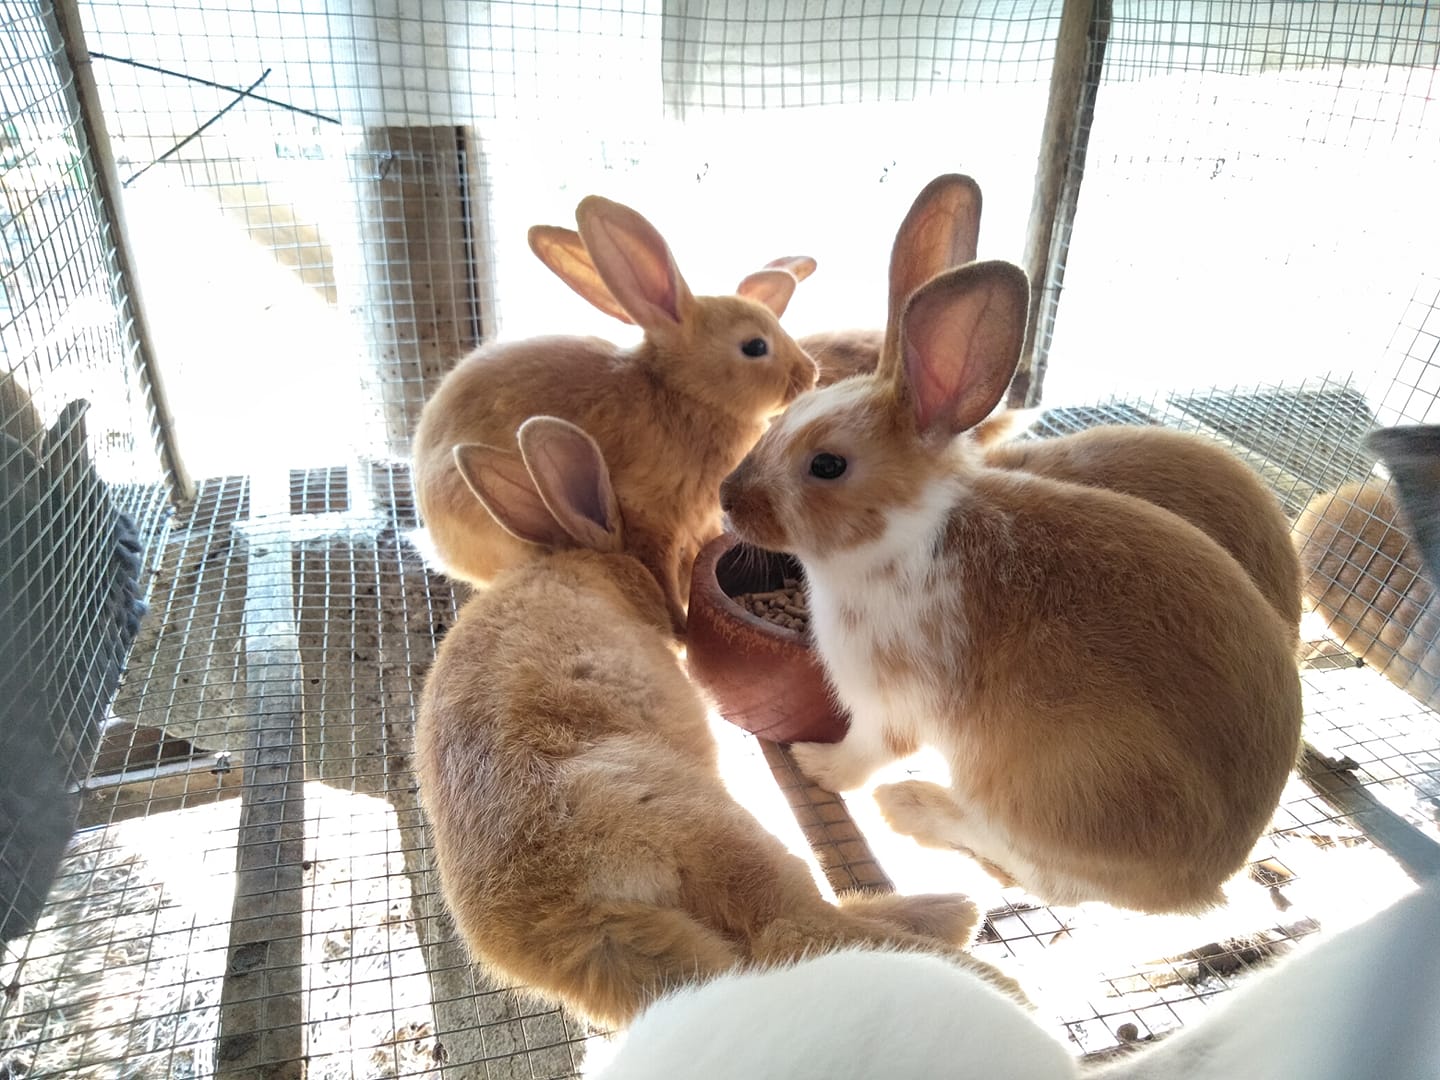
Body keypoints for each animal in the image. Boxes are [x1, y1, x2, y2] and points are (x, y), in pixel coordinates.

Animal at [413, 195, 818, 632]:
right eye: (755, 347)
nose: (810, 373)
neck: (683, 393)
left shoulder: (701, 521)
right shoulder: (647, 517)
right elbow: (658, 573)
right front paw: (680, 624)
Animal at [413, 414, 1019, 1029]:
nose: (675, 620)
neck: (580, 560)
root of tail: (569, 918)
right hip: (719, 834)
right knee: (799, 929)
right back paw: (975, 950)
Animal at [718, 260, 1303, 913]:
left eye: (827, 465)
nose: (727, 498)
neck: (905, 536)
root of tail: (1203, 883)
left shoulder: (888, 706)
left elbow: (864, 754)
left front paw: (813, 765)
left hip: (1042, 790)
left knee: (1032, 867)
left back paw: (908, 808)